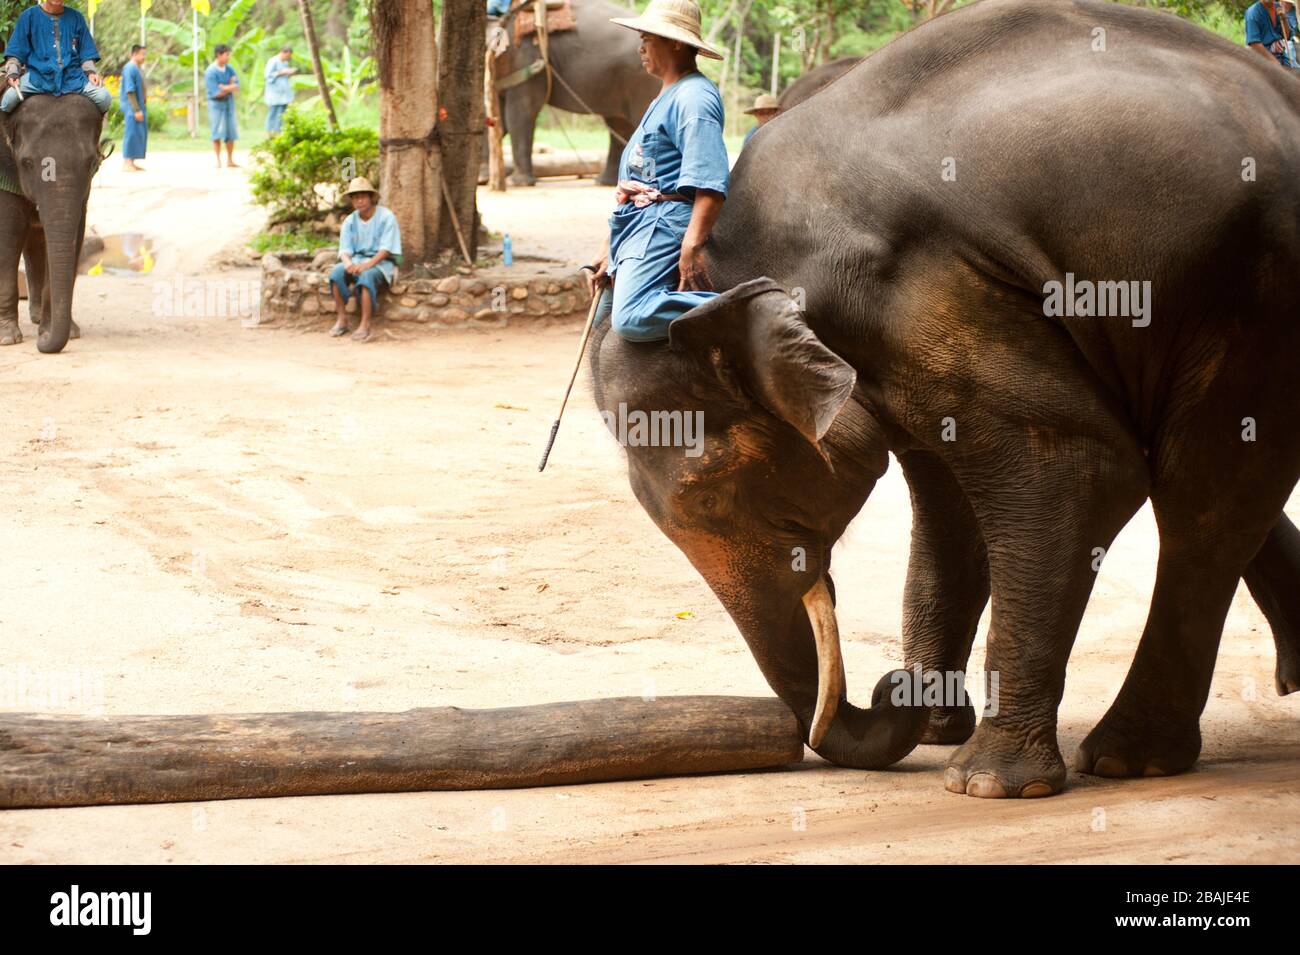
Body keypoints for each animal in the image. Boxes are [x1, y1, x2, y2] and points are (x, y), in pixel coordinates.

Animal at [0, 94, 103, 353]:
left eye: (92, 163)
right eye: (26, 163)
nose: (41, 343)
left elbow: (75, 231)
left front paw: (61, 332)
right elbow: (8, 230)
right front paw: (7, 338)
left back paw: (38, 318)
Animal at [491, 0, 658, 186]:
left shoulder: (528, 58)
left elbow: (520, 113)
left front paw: (520, 183)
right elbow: (498, 119)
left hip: (640, 77)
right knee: (618, 124)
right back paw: (604, 182)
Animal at [589, 0, 1300, 798]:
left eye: (709, 494)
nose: (887, 688)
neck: (725, 264)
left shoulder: (921, 290)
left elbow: (1074, 466)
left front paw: (986, 782)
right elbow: (948, 505)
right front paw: (932, 723)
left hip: (1251, 293)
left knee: (1202, 493)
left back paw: (1128, 757)